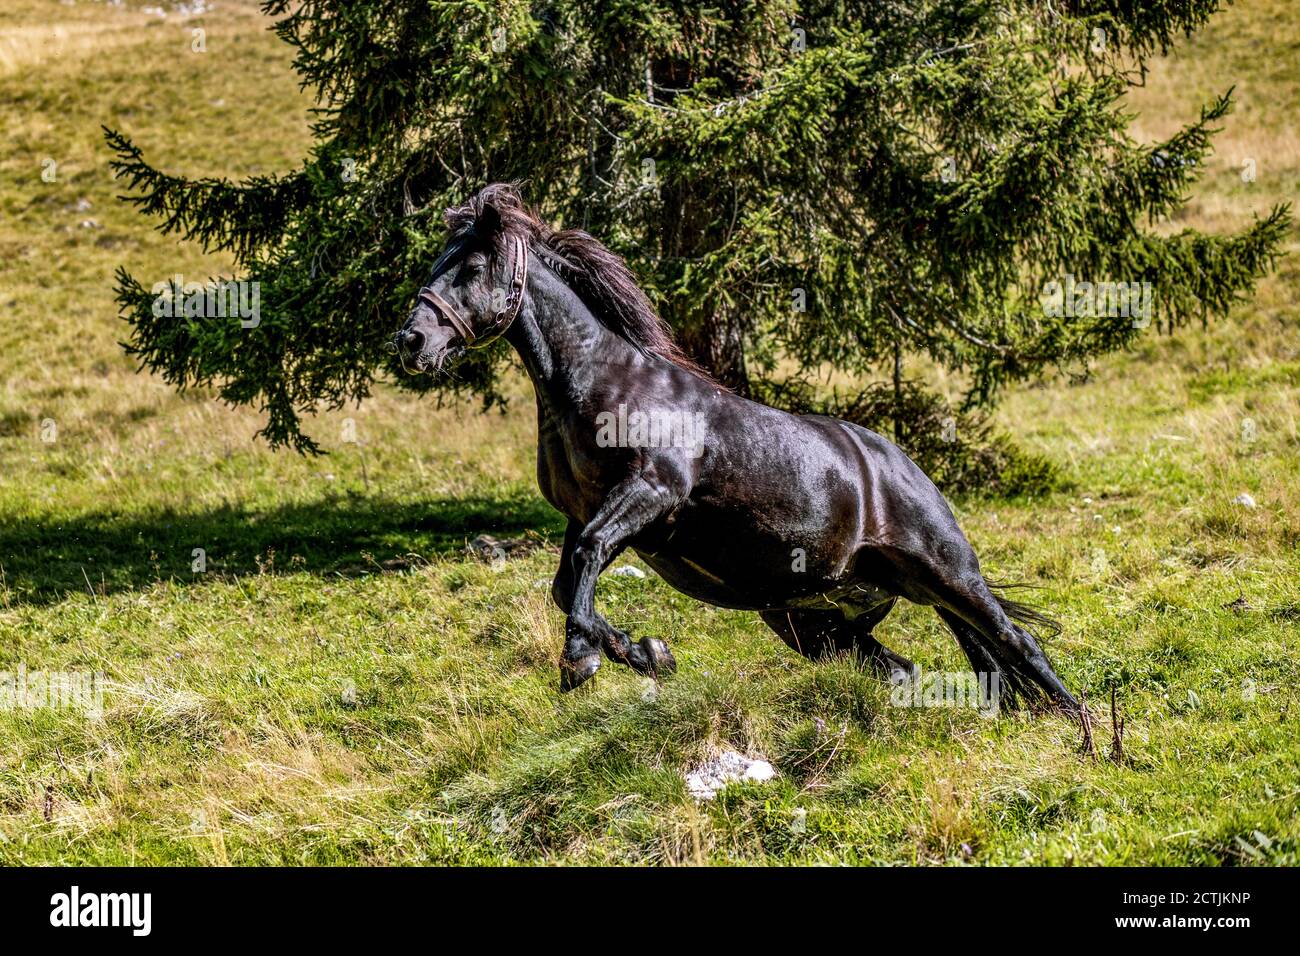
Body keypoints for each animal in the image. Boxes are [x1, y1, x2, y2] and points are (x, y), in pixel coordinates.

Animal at [395, 183, 1078, 713]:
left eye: (471, 267)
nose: (411, 341)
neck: (601, 382)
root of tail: (905, 468)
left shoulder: (650, 492)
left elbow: (587, 558)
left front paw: (585, 659)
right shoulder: (582, 509)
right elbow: (569, 583)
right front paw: (645, 653)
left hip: (948, 575)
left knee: (1018, 644)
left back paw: (1083, 734)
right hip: (814, 619)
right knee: (903, 667)